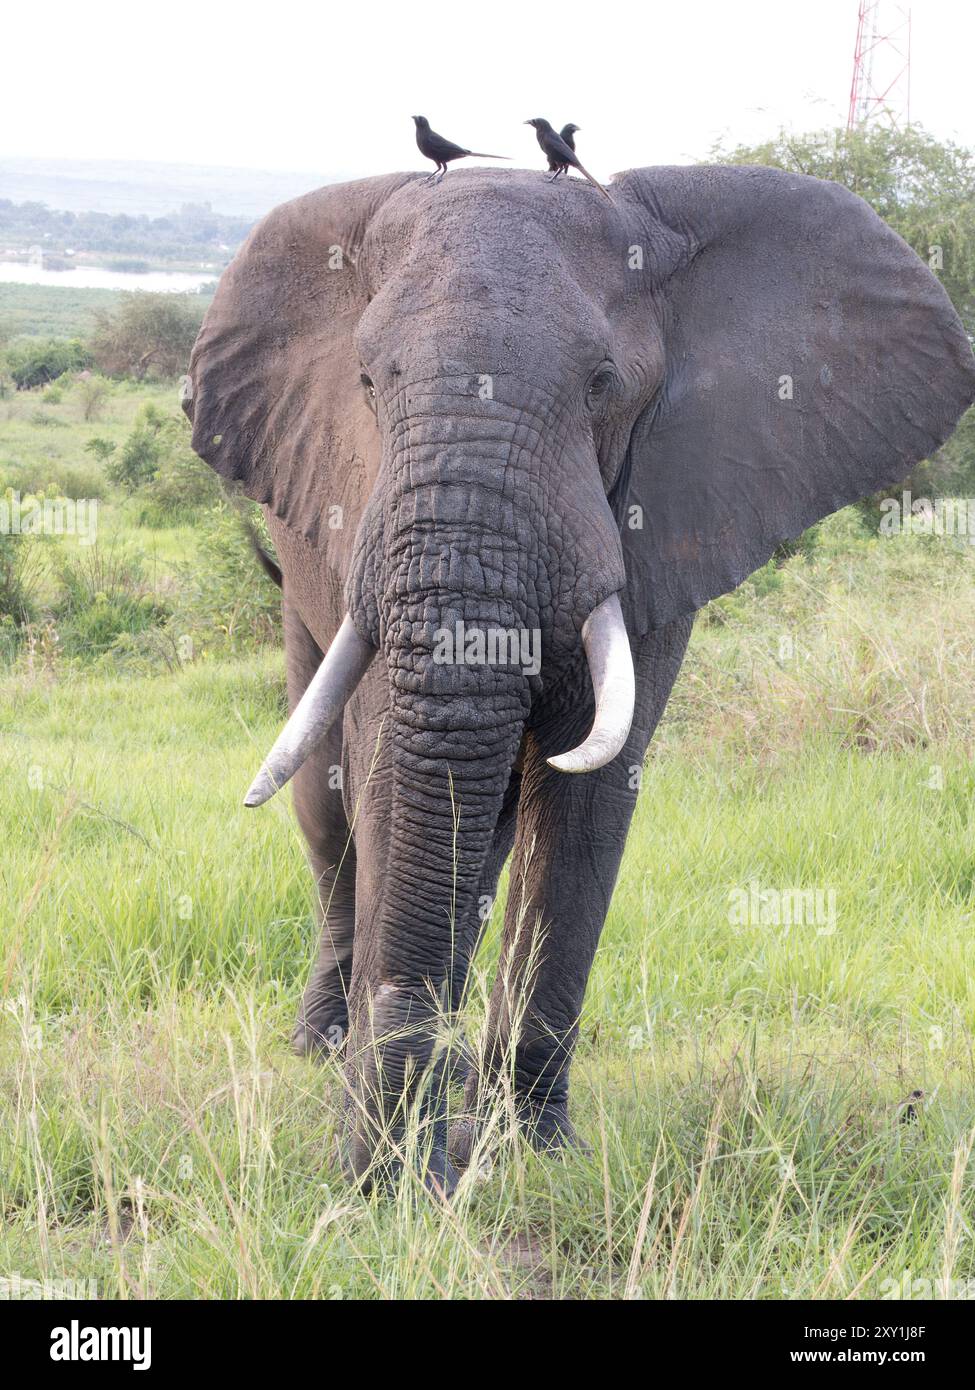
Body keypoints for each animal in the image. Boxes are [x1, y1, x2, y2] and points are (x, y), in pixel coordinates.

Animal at [182, 165, 975, 1194]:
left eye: (602, 386)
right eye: (365, 380)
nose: (414, 1175)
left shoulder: (660, 511)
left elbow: (590, 787)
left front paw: (526, 1151)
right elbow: (391, 772)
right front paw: (398, 1169)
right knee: (325, 802)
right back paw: (323, 1043)